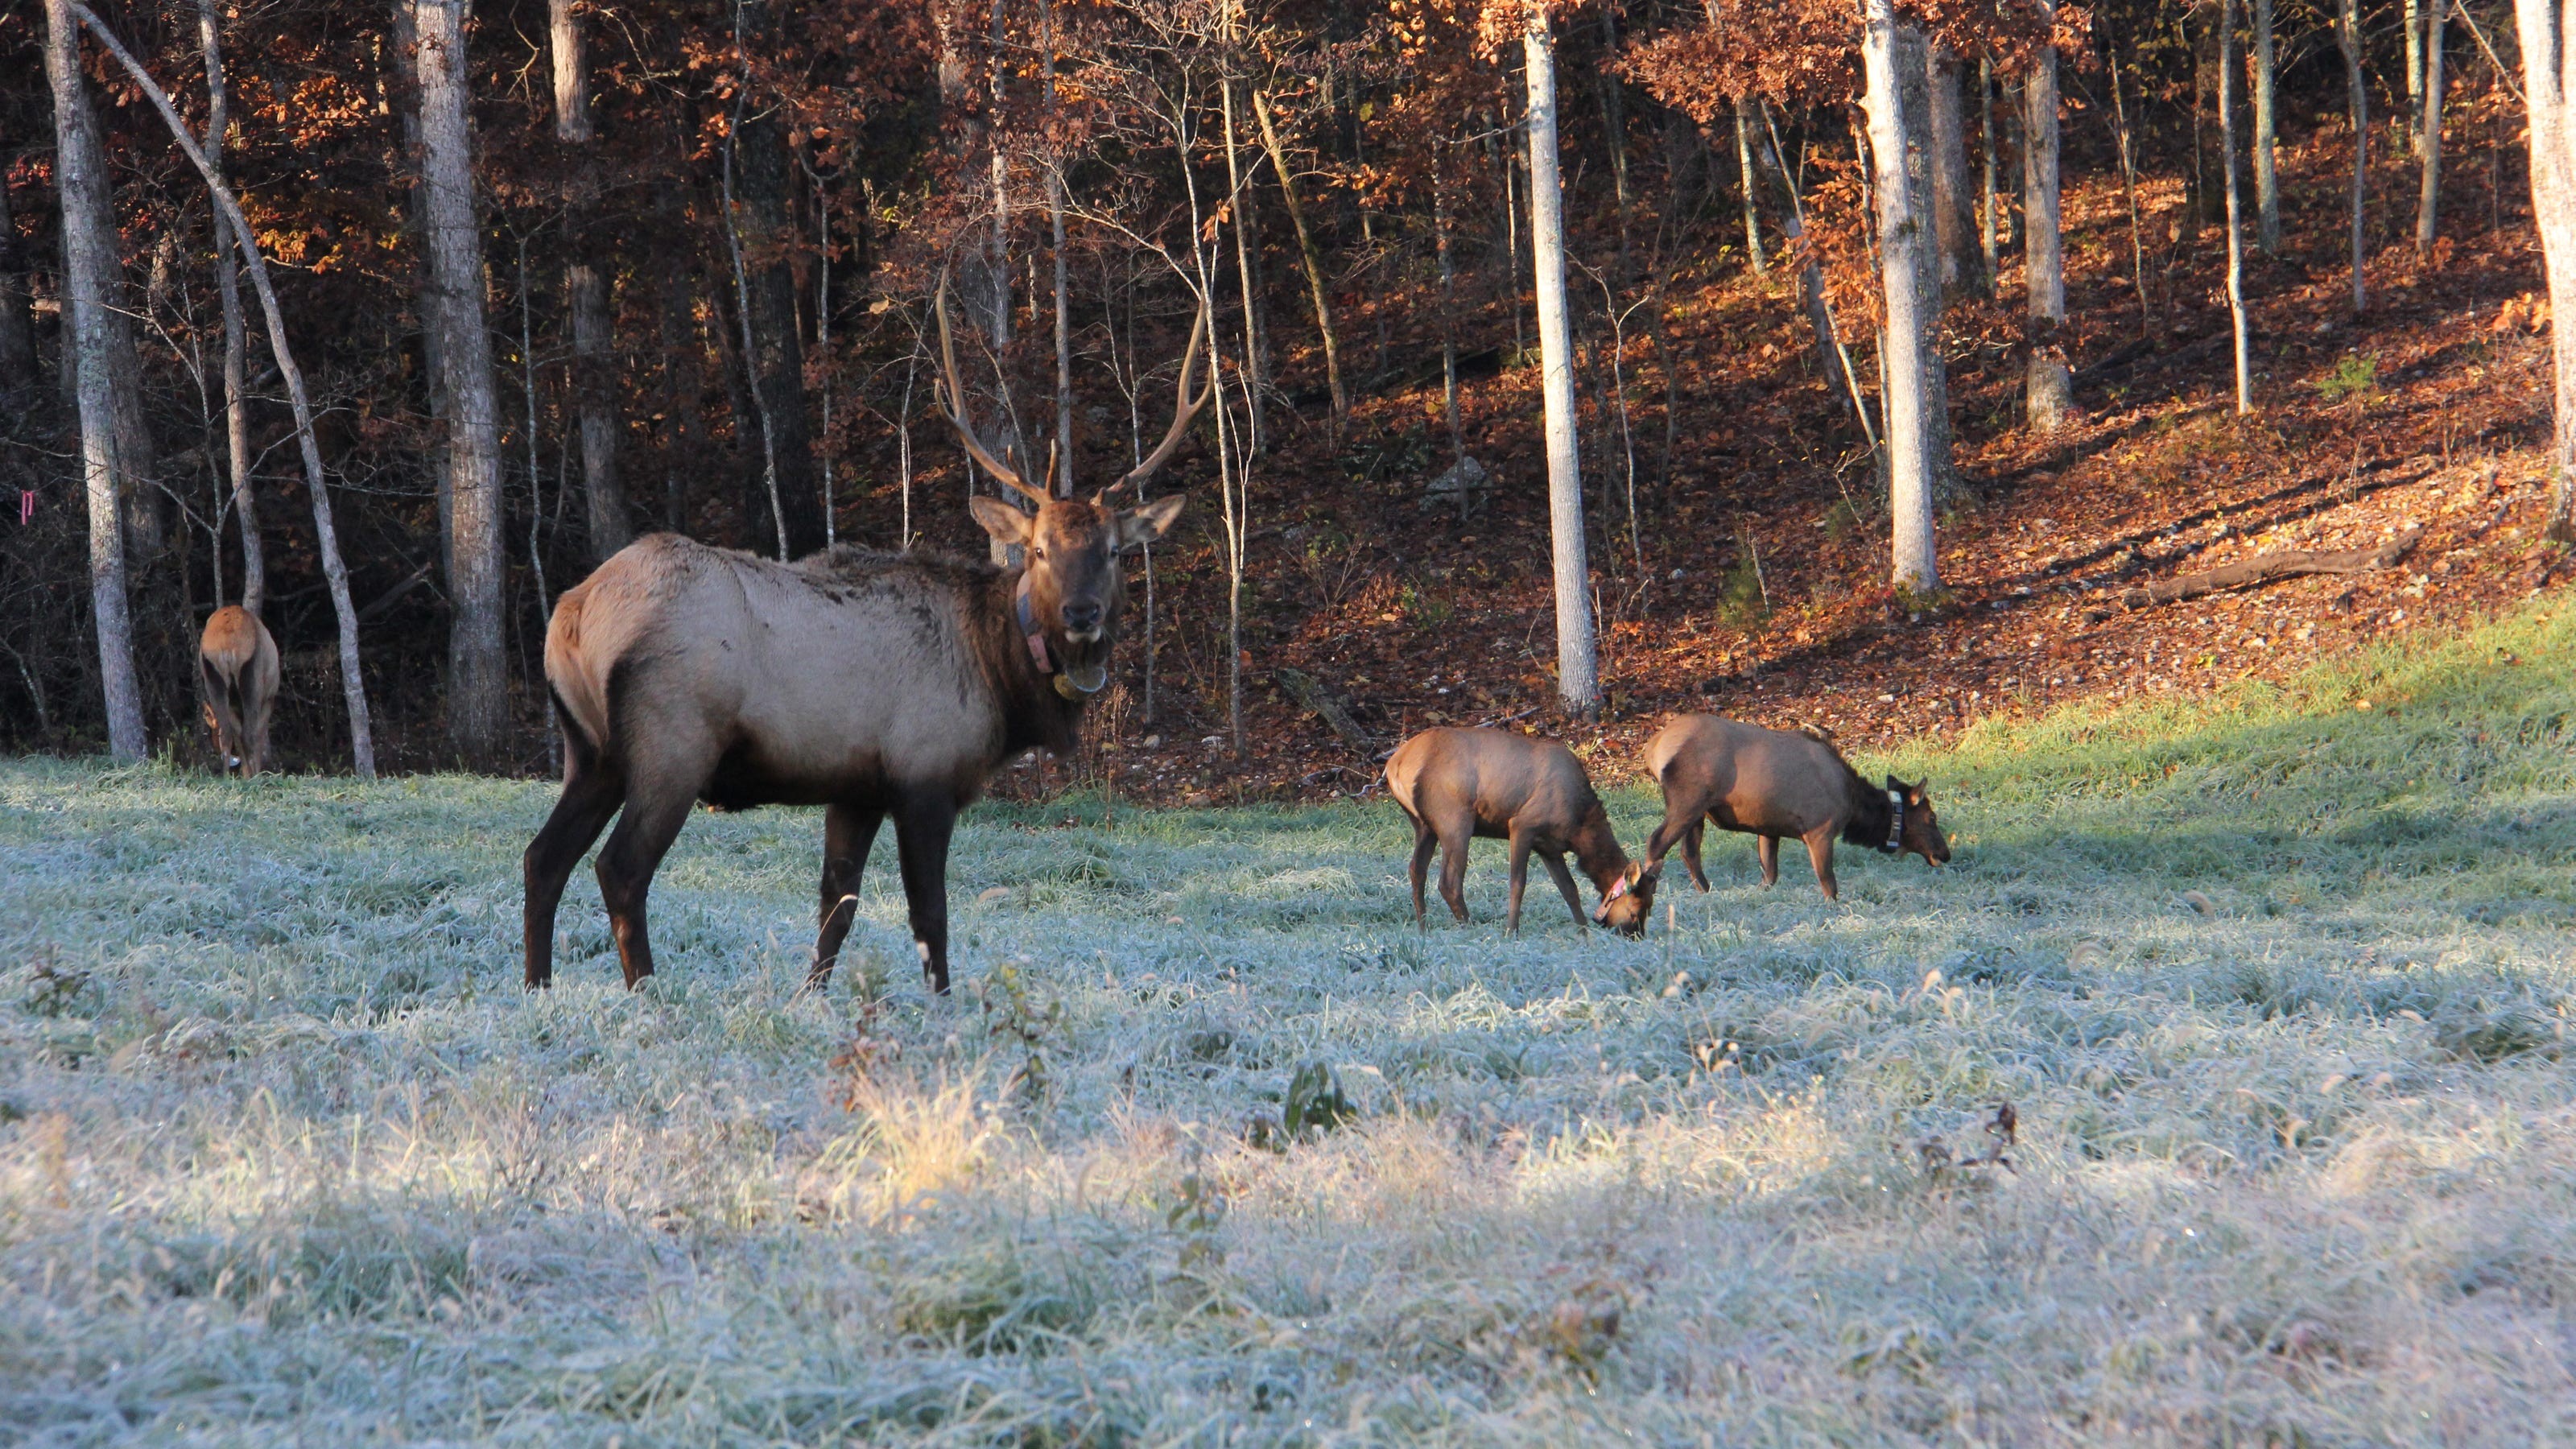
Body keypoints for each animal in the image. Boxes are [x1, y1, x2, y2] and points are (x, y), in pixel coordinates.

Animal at [199, 605, 279, 776]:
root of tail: (227, 646)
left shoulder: (233, 705)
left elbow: (237, 734)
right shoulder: (268, 700)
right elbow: (258, 735)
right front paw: (252, 774)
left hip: (215, 682)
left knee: (228, 734)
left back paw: (225, 776)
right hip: (251, 682)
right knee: (250, 735)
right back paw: (255, 777)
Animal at [522, 282, 1206, 996]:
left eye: (1113, 552)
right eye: (1040, 549)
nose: (1081, 613)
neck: (998, 675)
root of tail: (571, 614)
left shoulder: (855, 789)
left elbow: (836, 909)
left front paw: (810, 1000)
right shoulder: (924, 776)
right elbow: (929, 917)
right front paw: (942, 1005)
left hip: (590, 750)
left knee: (543, 857)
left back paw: (536, 989)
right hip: (672, 741)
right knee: (619, 867)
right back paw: (649, 995)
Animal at [1385, 727, 1659, 936]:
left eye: (1649, 909)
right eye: (1634, 912)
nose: (1635, 936)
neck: (1579, 827)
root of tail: (1395, 763)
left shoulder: (1550, 846)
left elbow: (1570, 889)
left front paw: (1584, 934)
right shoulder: (1522, 825)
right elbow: (1518, 884)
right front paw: (1511, 932)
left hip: (1424, 825)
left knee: (1416, 870)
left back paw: (1424, 929)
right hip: (1455, 818)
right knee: (1449, 881)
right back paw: (1470, 927)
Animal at [1641, 715, 1950, 900]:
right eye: (1931, 817)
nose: (1944, 854)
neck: (1853, 803)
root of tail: (1652, 749)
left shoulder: (1768, 829)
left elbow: (1769, 875)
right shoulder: (1820, 830)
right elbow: (1828, 883)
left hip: (1698, 812)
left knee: (1689, 852)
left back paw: (1707, 892)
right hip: (1687, 800)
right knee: (1656, 843)